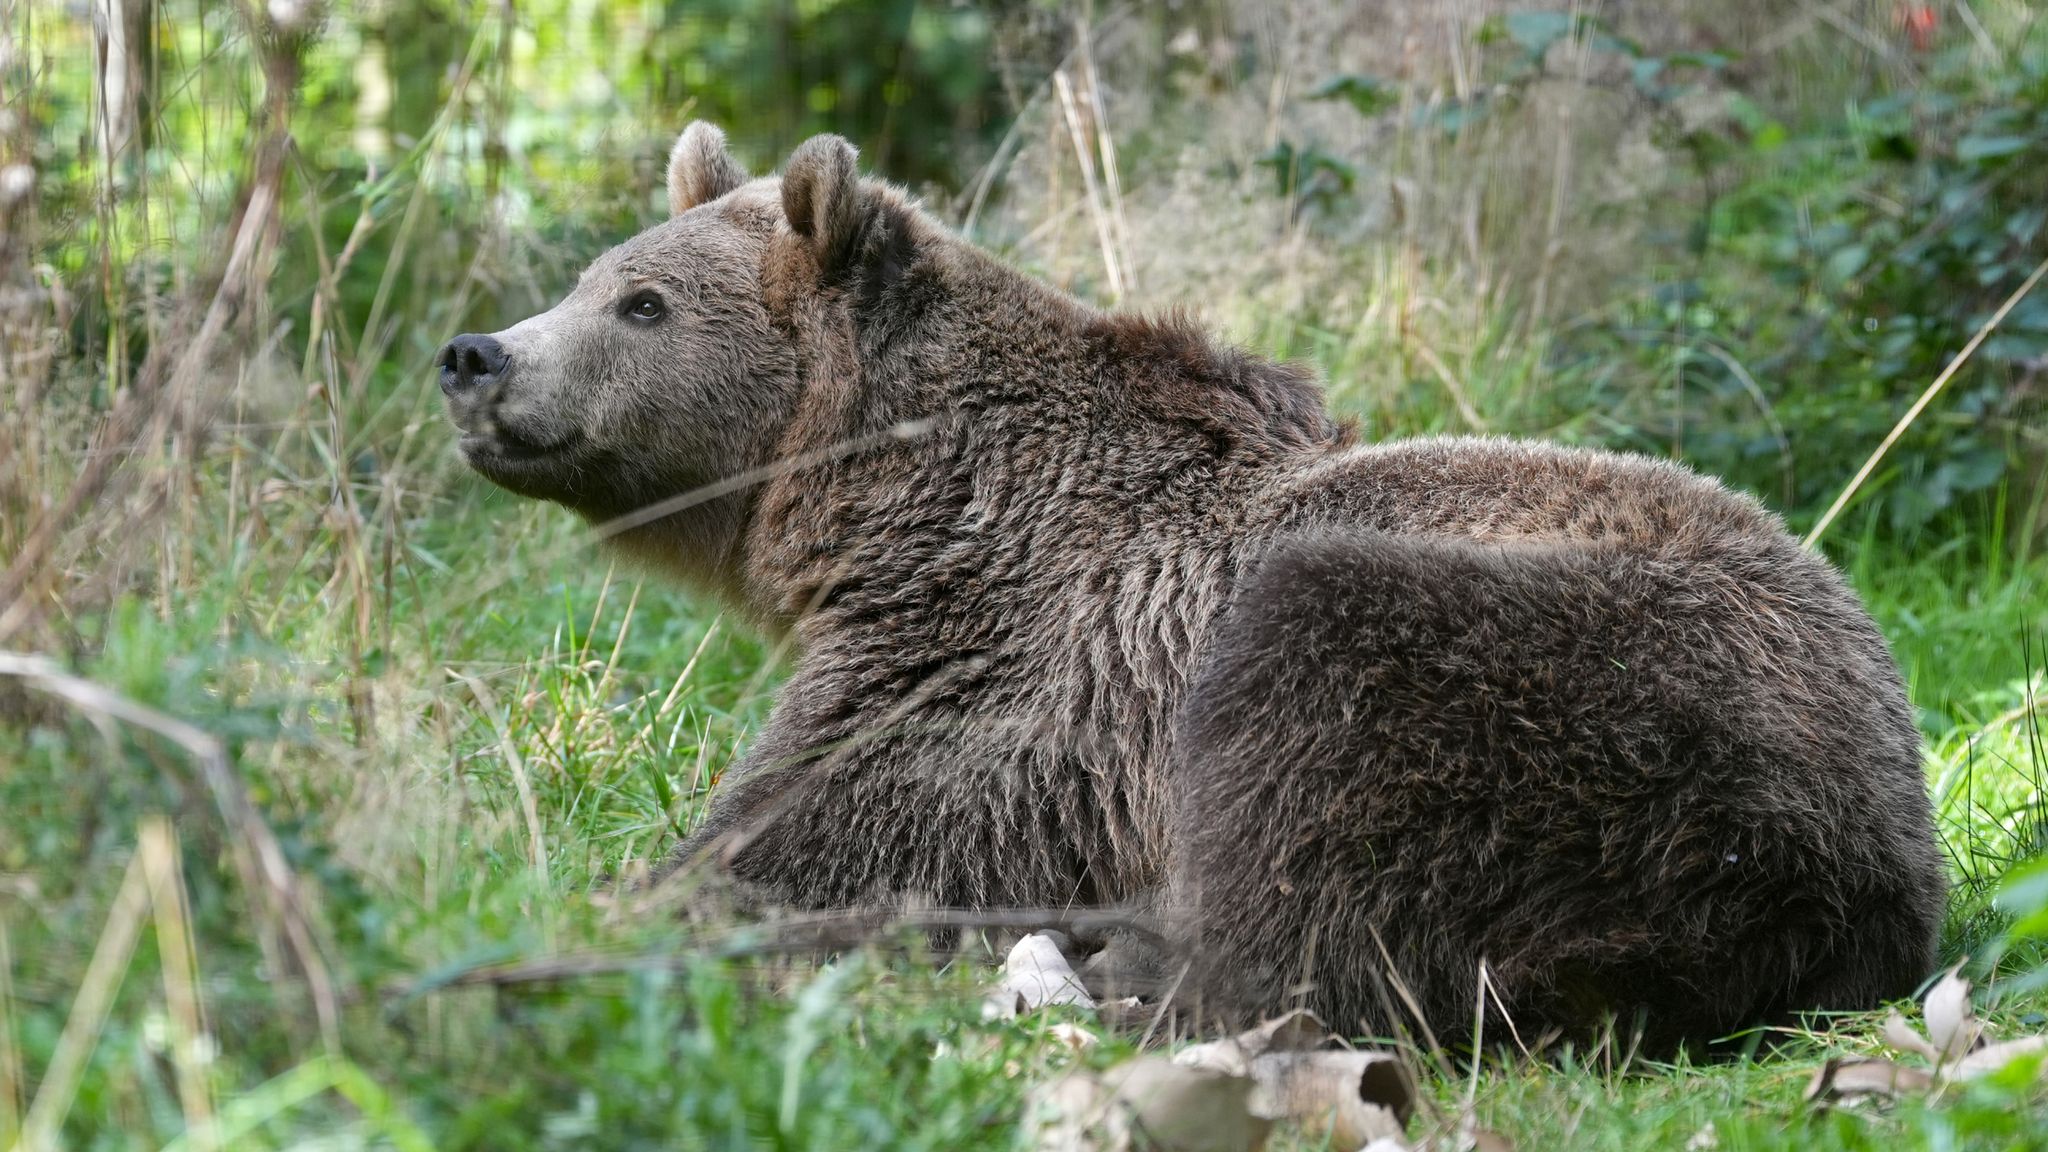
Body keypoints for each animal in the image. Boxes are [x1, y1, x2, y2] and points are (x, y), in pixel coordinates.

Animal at [437, 120, 1947, 1047]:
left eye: (639, 304)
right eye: (590, 276)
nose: (474, 354)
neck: (890, 509)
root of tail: (1860, 870)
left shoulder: (1005, 673)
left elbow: (803, 834)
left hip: (1586, 687)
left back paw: (1125, 969)